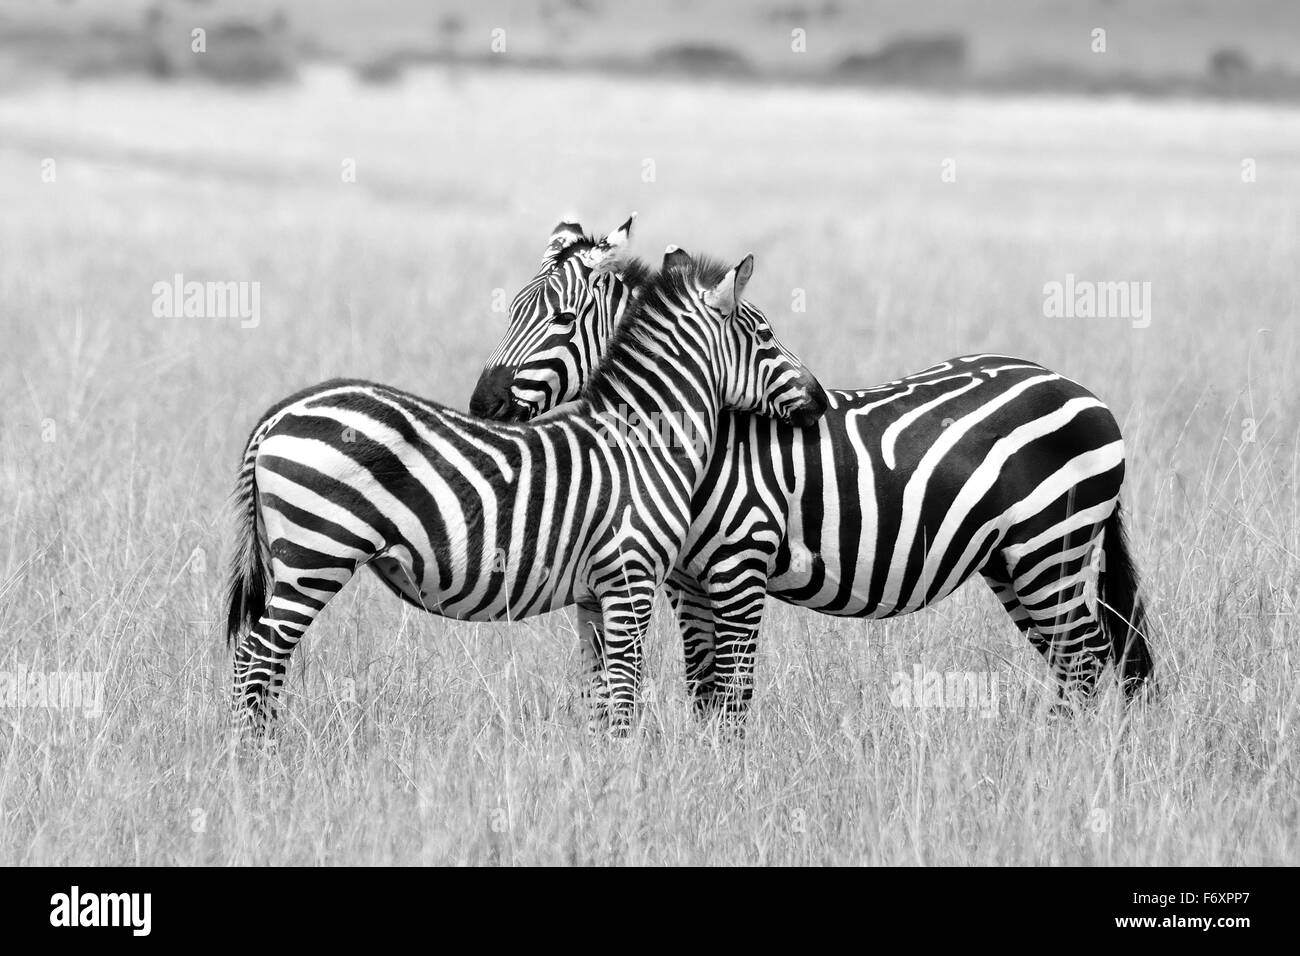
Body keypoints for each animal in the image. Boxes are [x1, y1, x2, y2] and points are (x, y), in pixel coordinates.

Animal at [224, 242, 829, 739]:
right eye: (766, 334)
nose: (821, 401)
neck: (645, 441)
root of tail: (279, 415)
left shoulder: (594, 593)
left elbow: (602, 698)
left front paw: (602, 778)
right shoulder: (631, 580)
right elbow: (625, 696)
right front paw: (629, 778)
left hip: (296, 559)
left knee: (258, 660)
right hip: (317, 554)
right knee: (255, 657)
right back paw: (251, 759)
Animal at [469, 220, 1155, 719]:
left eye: (560, 319)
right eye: (511, 310)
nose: (481, 405)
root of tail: (1078, 389)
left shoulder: (739, 567)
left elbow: (732, 696)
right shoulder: (685, 582)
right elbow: (702, 691)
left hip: (1050, 547)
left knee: (1087, 659)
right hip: (1013, 561)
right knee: (1081, 660)